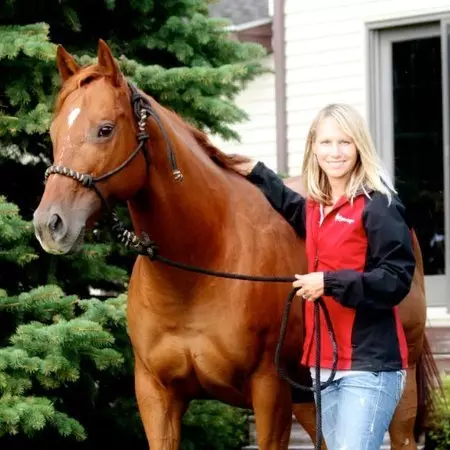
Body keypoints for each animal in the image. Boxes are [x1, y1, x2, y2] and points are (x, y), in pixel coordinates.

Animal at [34, 40, 440, 448]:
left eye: (105, 129)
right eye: (52, 132)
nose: (48, 224)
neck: (202, 263)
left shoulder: (269, 392)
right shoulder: (156, 395)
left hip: (395, 393)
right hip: (312, 397)